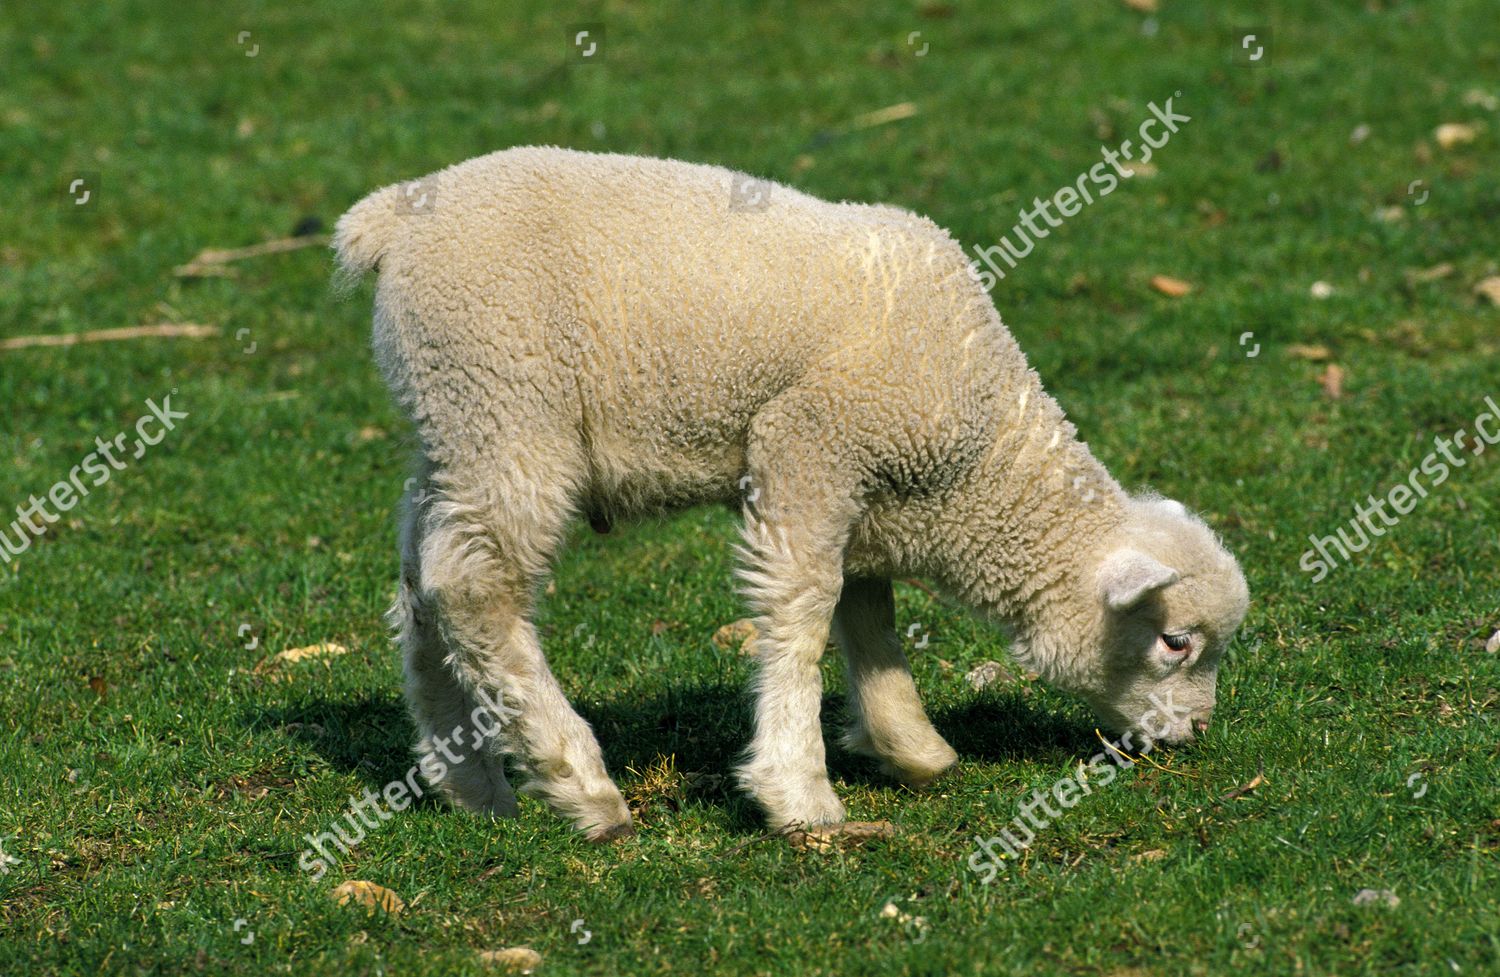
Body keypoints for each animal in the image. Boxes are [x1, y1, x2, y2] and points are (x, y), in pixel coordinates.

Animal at [333, 146, 1250, 839]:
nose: (1199, 731)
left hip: (451, 426)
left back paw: (471, 782)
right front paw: (798, 792)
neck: (976, 459)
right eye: (1176, 642)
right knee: (476, 590)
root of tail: (397, 214)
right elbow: (802, 611)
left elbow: (866, 613)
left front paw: (909, 744)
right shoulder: (810, 446)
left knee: (422, 585)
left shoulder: (864, 491)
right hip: (507, 407)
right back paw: (580, 782)